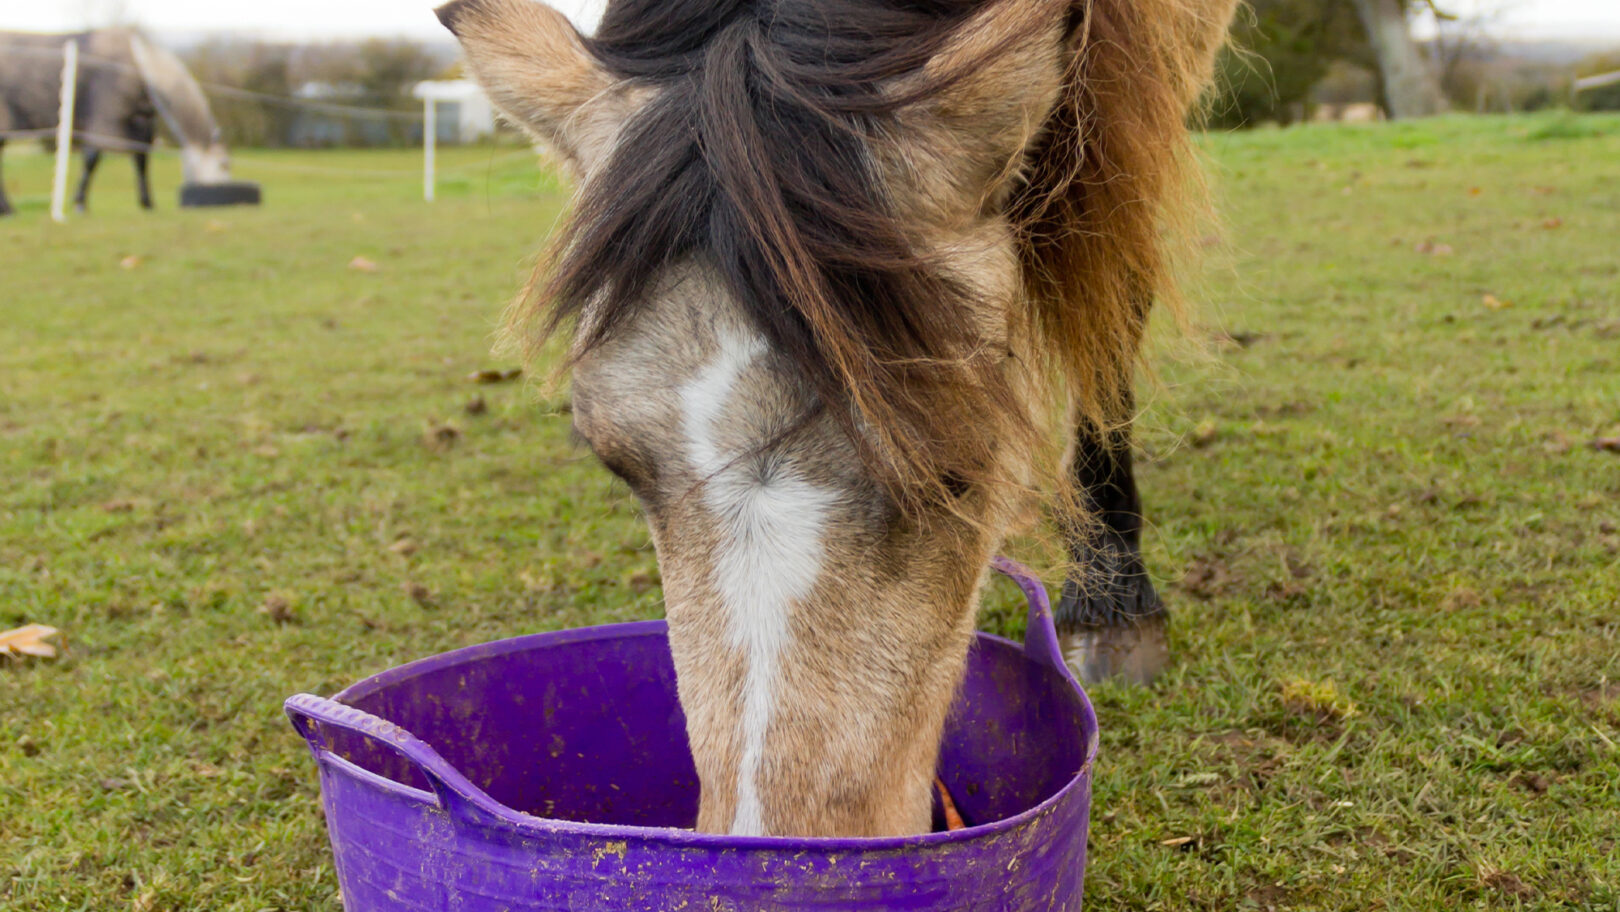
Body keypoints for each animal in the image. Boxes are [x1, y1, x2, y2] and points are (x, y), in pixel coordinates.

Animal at [0, 28, 231, 215]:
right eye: (224, 164)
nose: (221, 196)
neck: (139, 64)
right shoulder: (105, 116)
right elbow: (92, 159)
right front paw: (80, 204)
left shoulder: (141, 121)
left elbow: (141, 160)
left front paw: (148, 203)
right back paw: (8, 210)